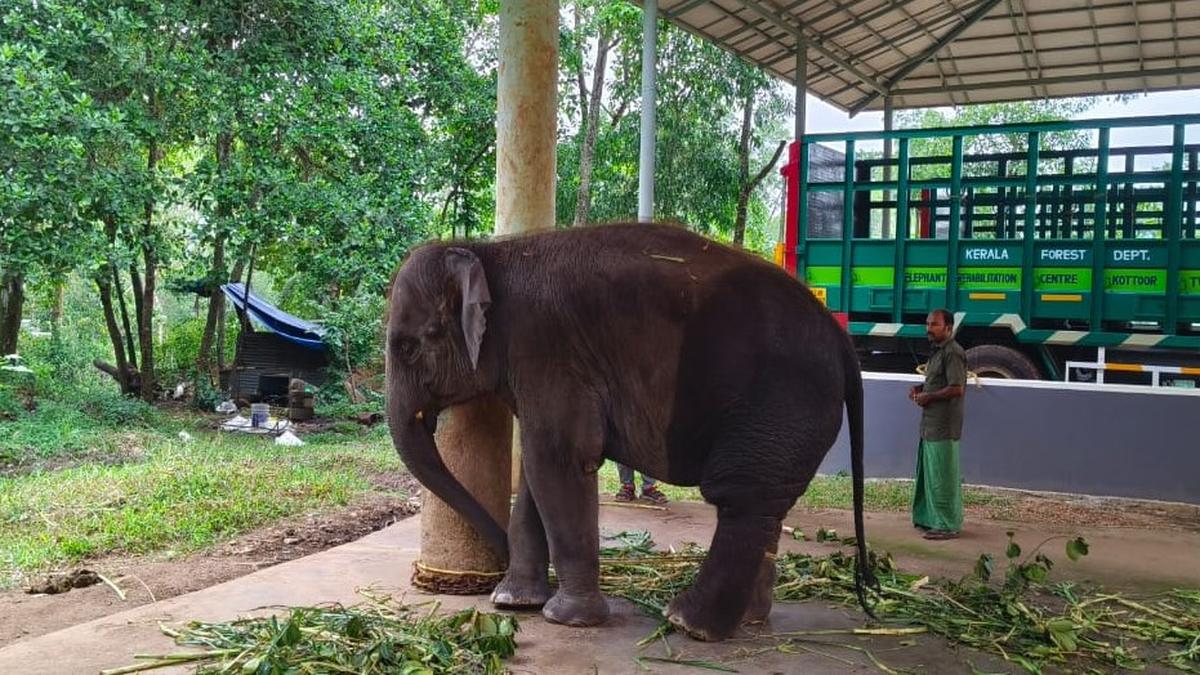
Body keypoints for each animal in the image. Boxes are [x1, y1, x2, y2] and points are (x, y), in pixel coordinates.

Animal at [386, 221, 875, 642]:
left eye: (408, 347)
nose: (490, 570)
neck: (489, 252)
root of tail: (842, 344)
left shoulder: (548, 352)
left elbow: (558, 462)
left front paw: (568, 619)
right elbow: (537, 472)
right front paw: (513, 603)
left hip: (779, 403)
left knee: (741, 499)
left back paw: (687, 624)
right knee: (766, 504)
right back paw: (748, 620)